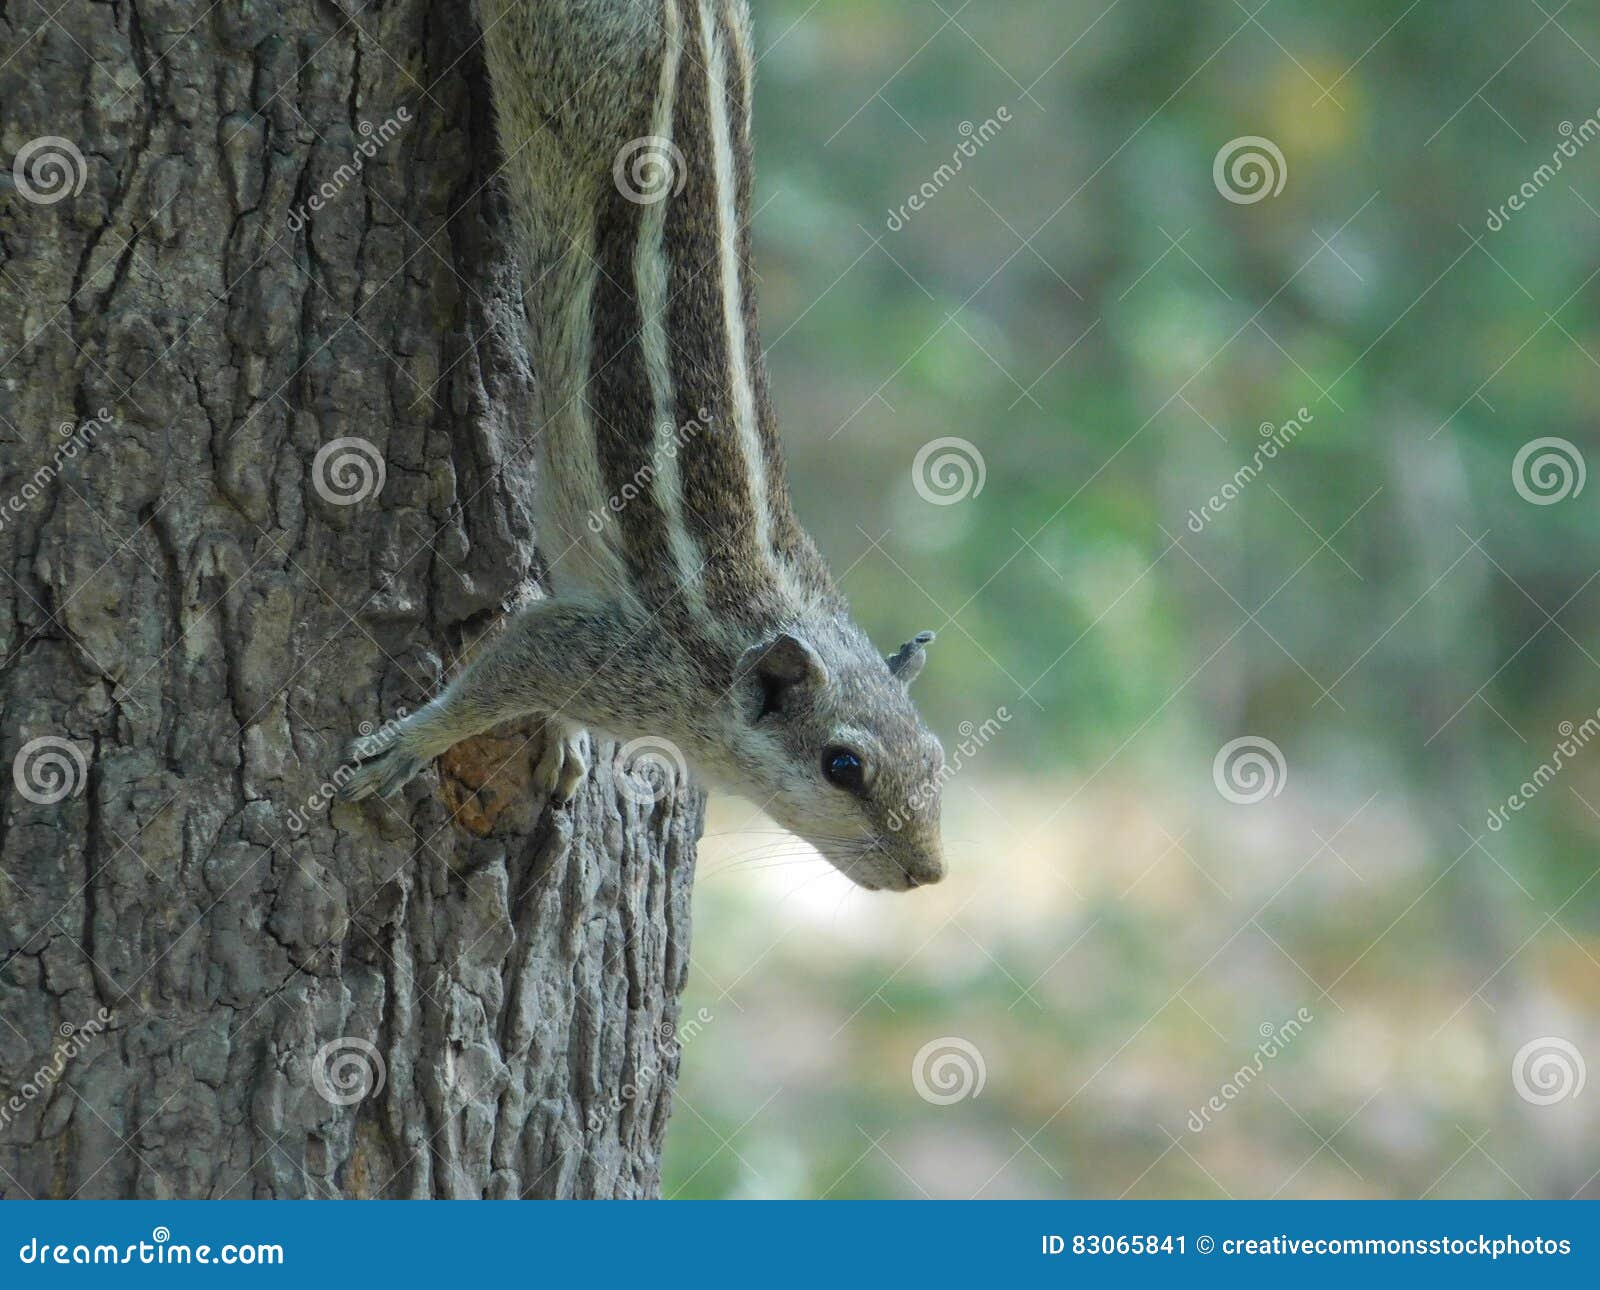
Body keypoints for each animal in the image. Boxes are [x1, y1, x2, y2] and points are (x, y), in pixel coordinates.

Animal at [337, 0, 946, 892]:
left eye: (935, 757)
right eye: (843, 767)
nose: (928, 872)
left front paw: (561, 740)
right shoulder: (609, 659)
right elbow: (498, 677)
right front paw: (410, 745)